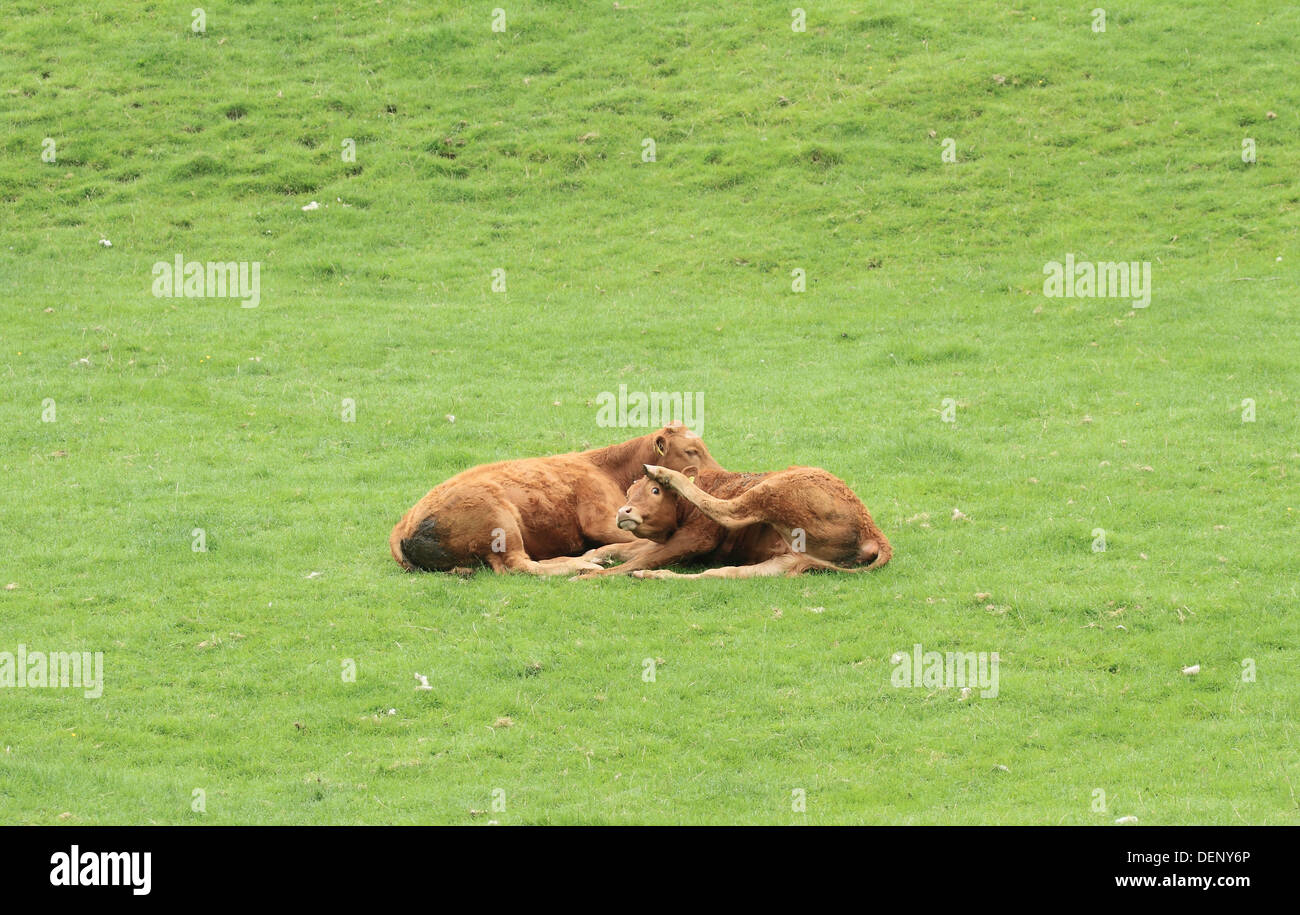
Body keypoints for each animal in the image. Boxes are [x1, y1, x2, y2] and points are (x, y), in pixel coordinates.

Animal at [389, 424, 719, 575]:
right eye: (690, 451)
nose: (718, 473)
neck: (606, 469)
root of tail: (403, 526)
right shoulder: (605, 520)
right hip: (500, 519)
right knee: (520, 565)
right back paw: (585, 565)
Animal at [579, 462, 891, 578]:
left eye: (655, 491)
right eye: (628, 493)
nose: (624, 512)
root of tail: (872, 529)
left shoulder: (696, 538)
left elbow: (639, 558)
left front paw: (592, 575)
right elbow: (622, 549)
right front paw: (590, 559)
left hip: (774, 488)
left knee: (724, 510)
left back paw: (661, 469)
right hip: (786, 561)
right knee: (720, 574)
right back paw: (653, 576)